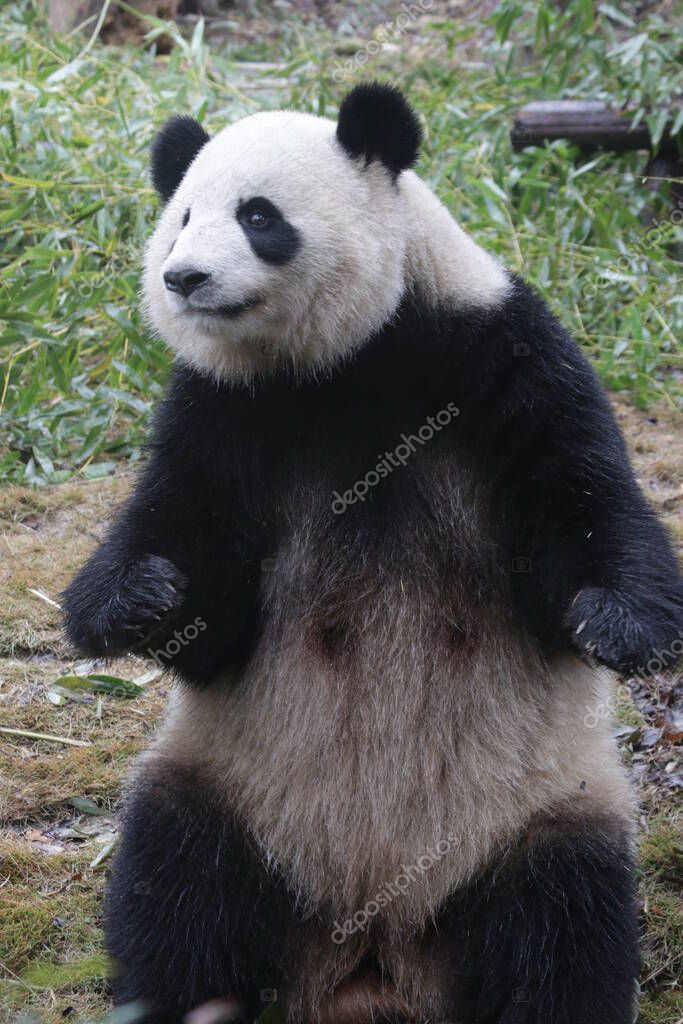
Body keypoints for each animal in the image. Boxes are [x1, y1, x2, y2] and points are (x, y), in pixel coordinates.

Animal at [63, 83, 683, 1024]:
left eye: (257, 216)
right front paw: (141, 599)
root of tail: (370, 955)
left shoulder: (498, 353)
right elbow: (198, 577)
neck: (342, 366)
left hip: (536, 813)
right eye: (181, 218)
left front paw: (615, 623)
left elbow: (581, 503)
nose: (183, 278)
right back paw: (183, 999)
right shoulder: (220, 411)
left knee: (561, 921)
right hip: (227, 787)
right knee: (173, 886)